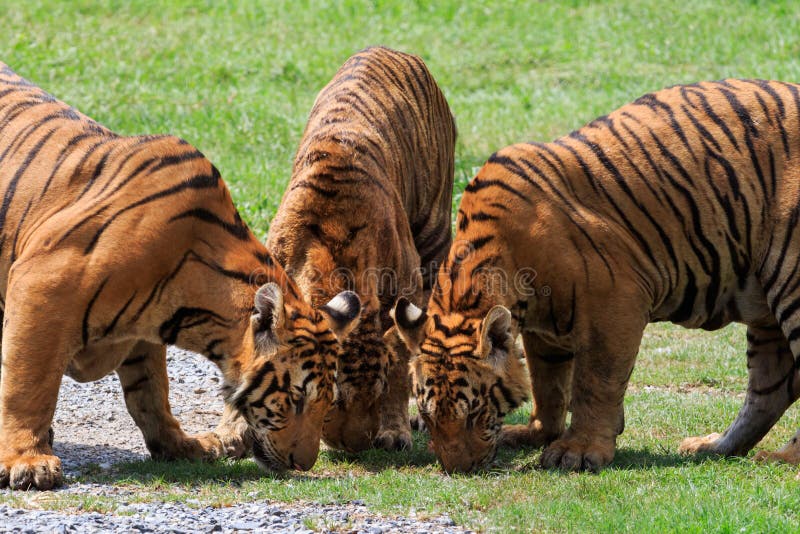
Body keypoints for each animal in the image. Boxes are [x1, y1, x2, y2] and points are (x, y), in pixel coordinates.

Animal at [0, 62, 361, 490]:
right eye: (295, 398)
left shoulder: (141, 331)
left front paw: (180, 445)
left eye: (326, 400)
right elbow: (29, 386)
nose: (303, 463)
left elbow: (151, 391)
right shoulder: (41, 284)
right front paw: (27, 461)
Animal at [267, 46, 456, 454]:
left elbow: (400, 359)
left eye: (378, 391)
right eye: (334, 396)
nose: (356, 445)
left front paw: (395, 431)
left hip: (433, 237)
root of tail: (392, 49)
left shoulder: (406, 285)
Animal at [393, 78, 800, 473]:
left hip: (789, 280)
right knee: (772, 389)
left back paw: (784, 459)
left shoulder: (616, 305)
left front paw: (578, 451)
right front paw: (537, 433)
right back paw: (712, 447)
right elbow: (548, 384)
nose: (459, 468)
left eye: (474, 413)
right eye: (428, 416)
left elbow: (595, 383)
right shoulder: (545, 330)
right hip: (763, 313)